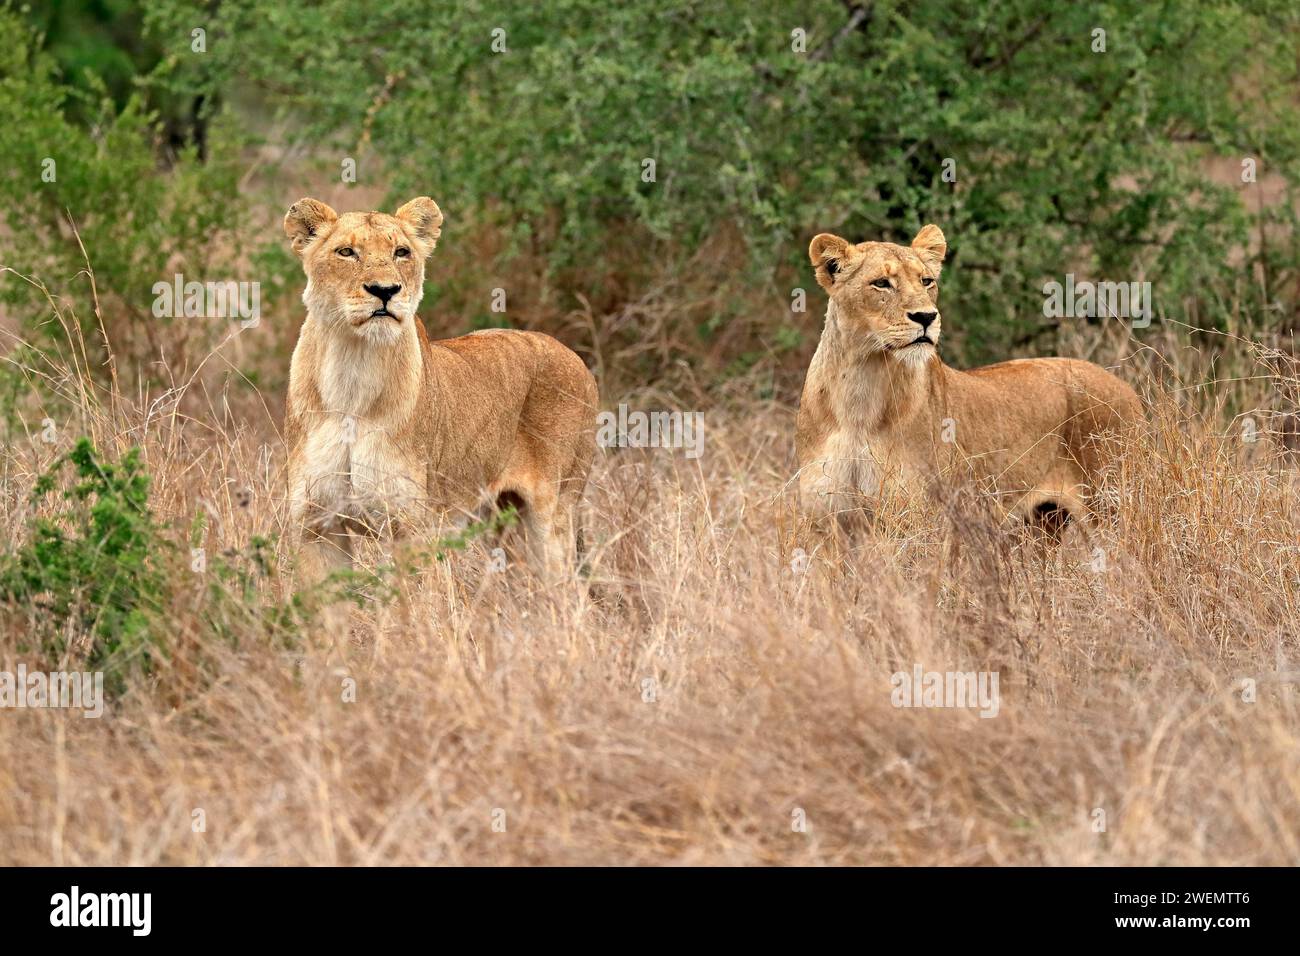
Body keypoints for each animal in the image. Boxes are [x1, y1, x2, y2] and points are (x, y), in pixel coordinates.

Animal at [282, 196, 597, 583]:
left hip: (554, 514)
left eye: (401, 252)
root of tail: (576, 358)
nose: (385, 291)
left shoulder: (410, 527)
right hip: (505, 522)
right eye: (346, 252)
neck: (352, 375)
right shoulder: (316, 528)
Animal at [795, 224, 1142, 531]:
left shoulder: (918, 519)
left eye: (927, 281)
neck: (860, 386)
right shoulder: (826, 520)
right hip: (1044, 520)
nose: (926, 317)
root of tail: (1125, 386)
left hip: (1110, 505)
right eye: (881, 283)